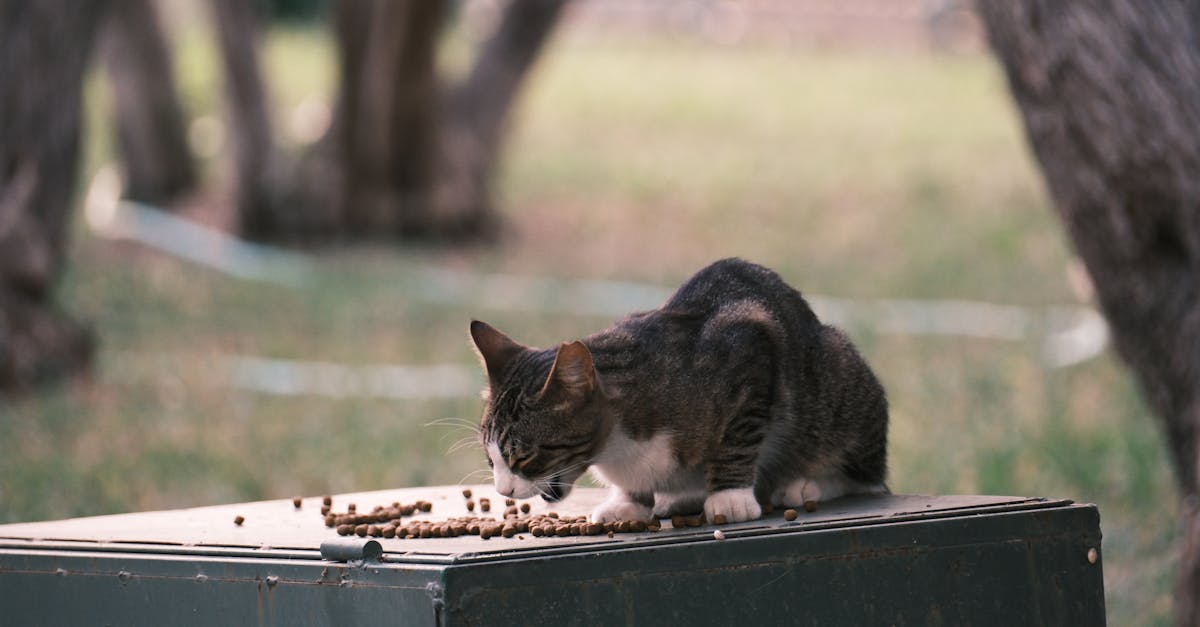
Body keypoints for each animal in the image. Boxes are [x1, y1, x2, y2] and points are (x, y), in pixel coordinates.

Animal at [470, 254, 892, 521]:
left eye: (524, 456)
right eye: (490, 460)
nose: (503, 492)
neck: (617, 446)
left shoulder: (750, 348)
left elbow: (737, 438)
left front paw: (730, 497)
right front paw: (629, 502)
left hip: (838, 383)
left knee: (865, 476)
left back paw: (809, 483)